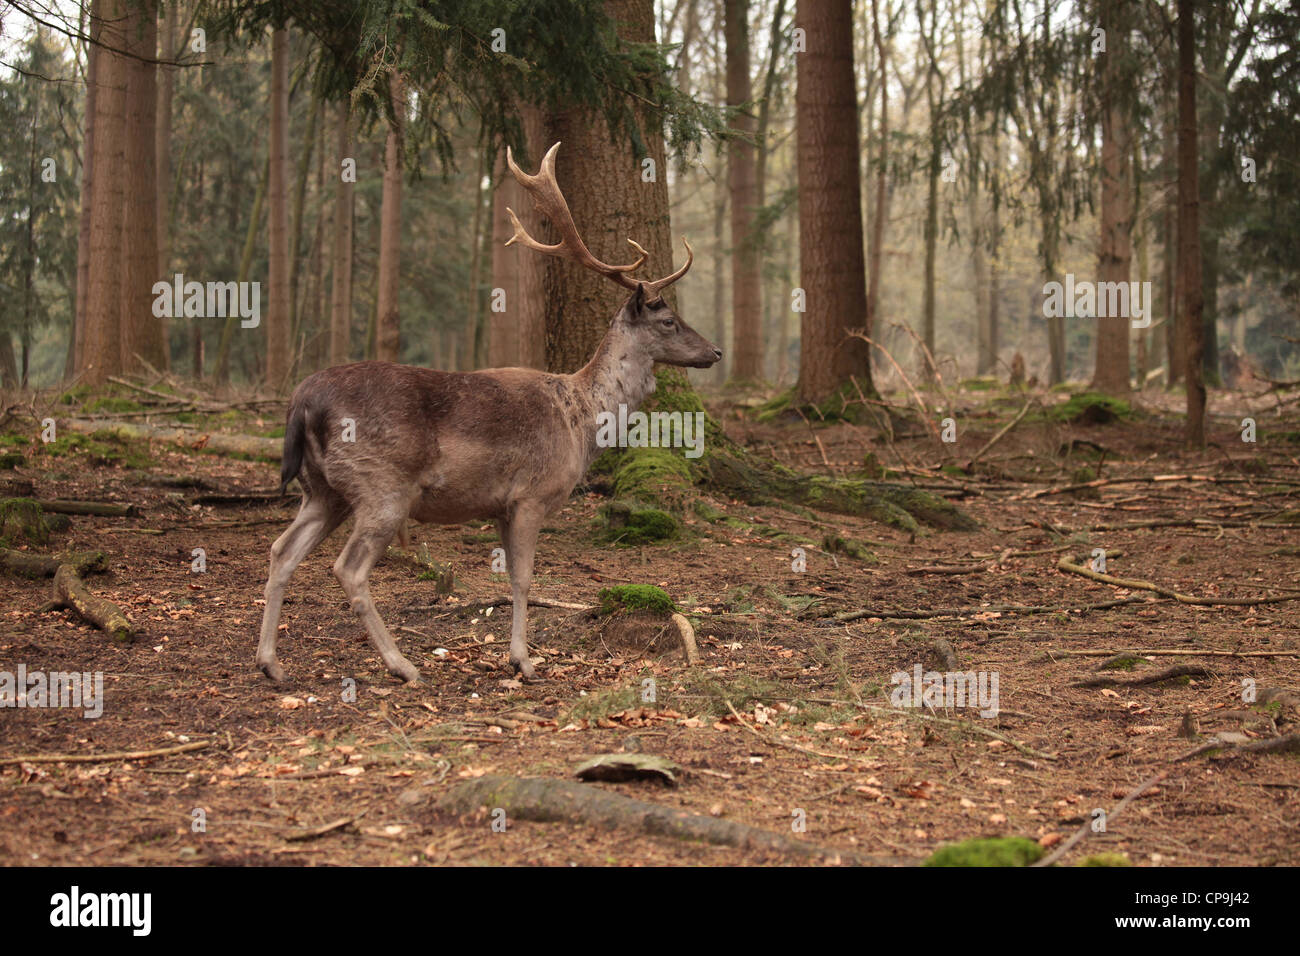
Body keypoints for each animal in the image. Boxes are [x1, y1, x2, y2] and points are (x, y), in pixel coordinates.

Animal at [255, 142, 722, 684]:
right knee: (347, 568)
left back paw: (270, 664)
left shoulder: (500, 505)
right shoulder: (532, 494)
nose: (715, 351)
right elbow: (524, 579)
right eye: (668, 320)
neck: (581, 421)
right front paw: (524, 660)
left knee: (281, 550)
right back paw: (402, 664)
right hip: (381, 484)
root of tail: (302, 400)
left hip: (322, 488)